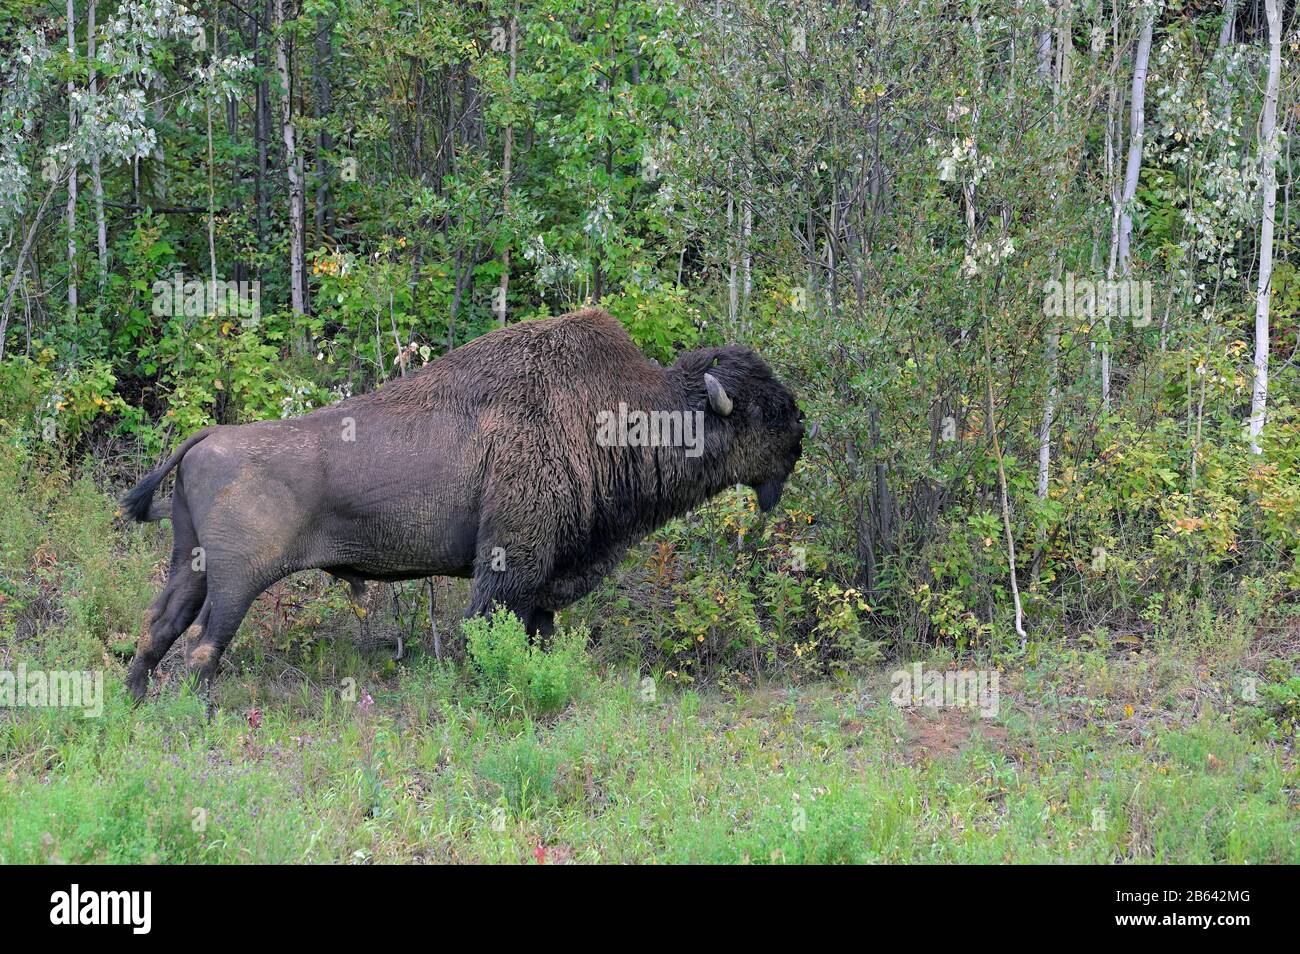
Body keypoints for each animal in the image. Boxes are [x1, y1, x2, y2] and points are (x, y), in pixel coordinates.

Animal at [121, 308, 805, 699]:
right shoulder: (511, 565)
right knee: (202, 645)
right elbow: (485, 627)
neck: (616, 416)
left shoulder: (542, 583)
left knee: (159, 628)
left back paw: (134, 704)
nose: (802, 437)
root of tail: (208, 438)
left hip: (190, 565)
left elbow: (537, 634)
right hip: (237, 583)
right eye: (764, 413)